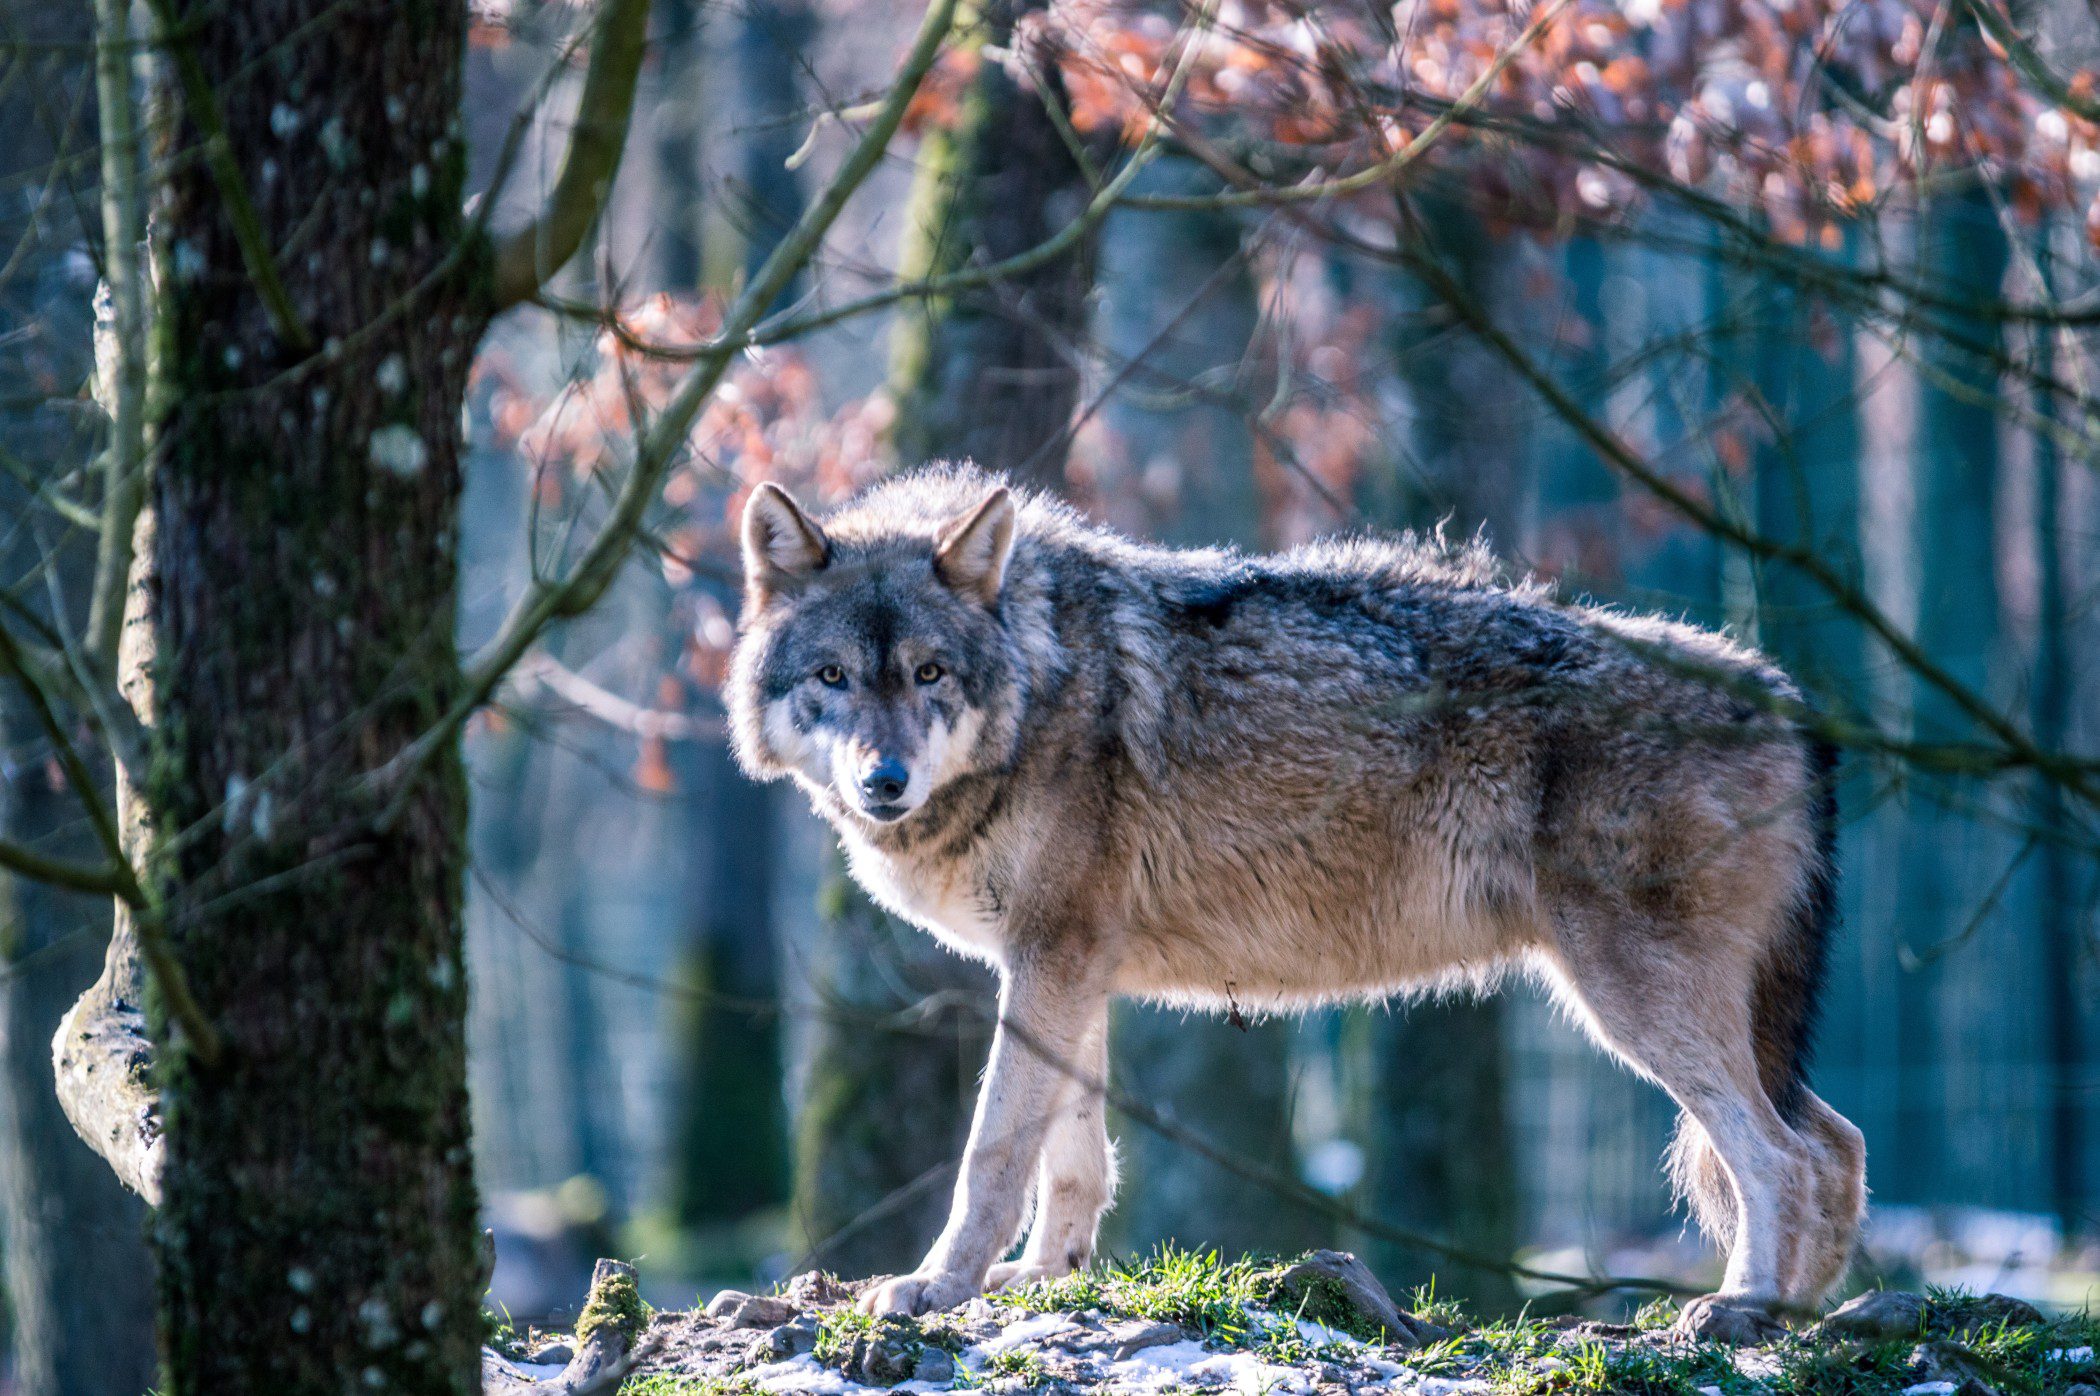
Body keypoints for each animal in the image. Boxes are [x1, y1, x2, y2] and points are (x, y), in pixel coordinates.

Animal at [725, 463, 1866, 1340]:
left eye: (929, 674)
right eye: (832, 676)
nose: (883, 781)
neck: (1044, 687)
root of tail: (1787, 693)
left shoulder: (1052, 958)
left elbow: (994, 1151)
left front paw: (937, 1285)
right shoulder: (1067, 963)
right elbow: (1073, 1158)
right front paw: (1045, 1278)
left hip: (1629, 1000)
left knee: (1784, 1155)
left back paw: (1743, 1307)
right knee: (1838, 1144)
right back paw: (1797, 1318)